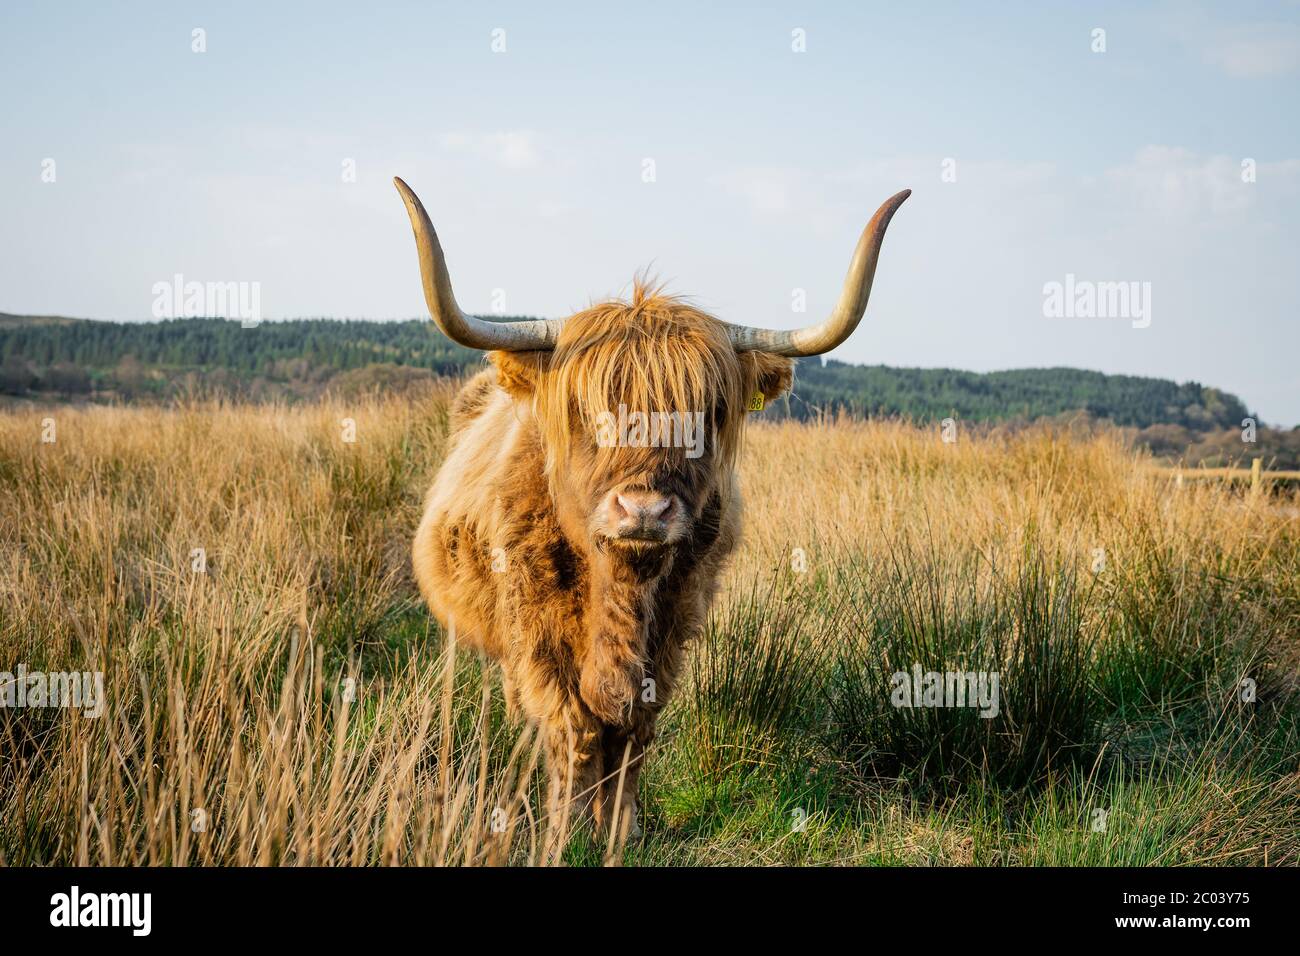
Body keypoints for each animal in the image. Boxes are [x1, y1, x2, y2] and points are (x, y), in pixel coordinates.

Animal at [394, 176, 909, 845]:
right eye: (584, 412)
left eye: (707, 414)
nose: (644, 510)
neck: (617, 591)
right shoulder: (537, 635)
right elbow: (575, 727)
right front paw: (567, 831)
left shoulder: (673, 625)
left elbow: (635, 729)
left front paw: (621, 828)